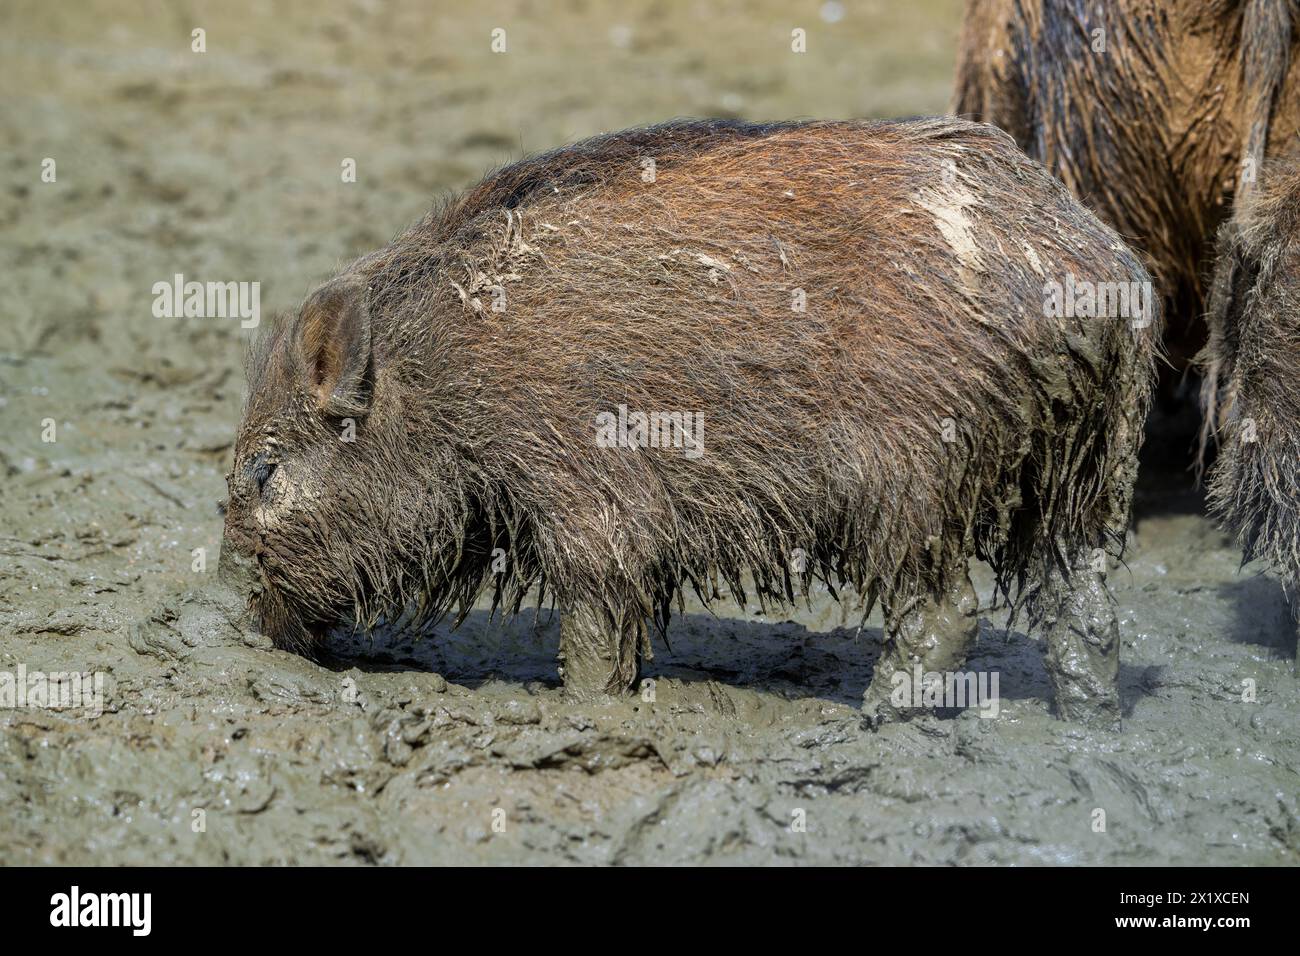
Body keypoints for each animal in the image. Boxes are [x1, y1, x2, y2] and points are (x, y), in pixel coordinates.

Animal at [217, 117, 1159, 728]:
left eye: (264, 469)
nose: (235, 617)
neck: (443, 378)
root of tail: (1097, 268)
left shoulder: (590, 496)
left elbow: (595, 625)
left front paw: (583, 711)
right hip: (1090, 469)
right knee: (1088, 610)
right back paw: (1089, 725)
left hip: (906, 474)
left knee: (949, 609)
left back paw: (867, 720)